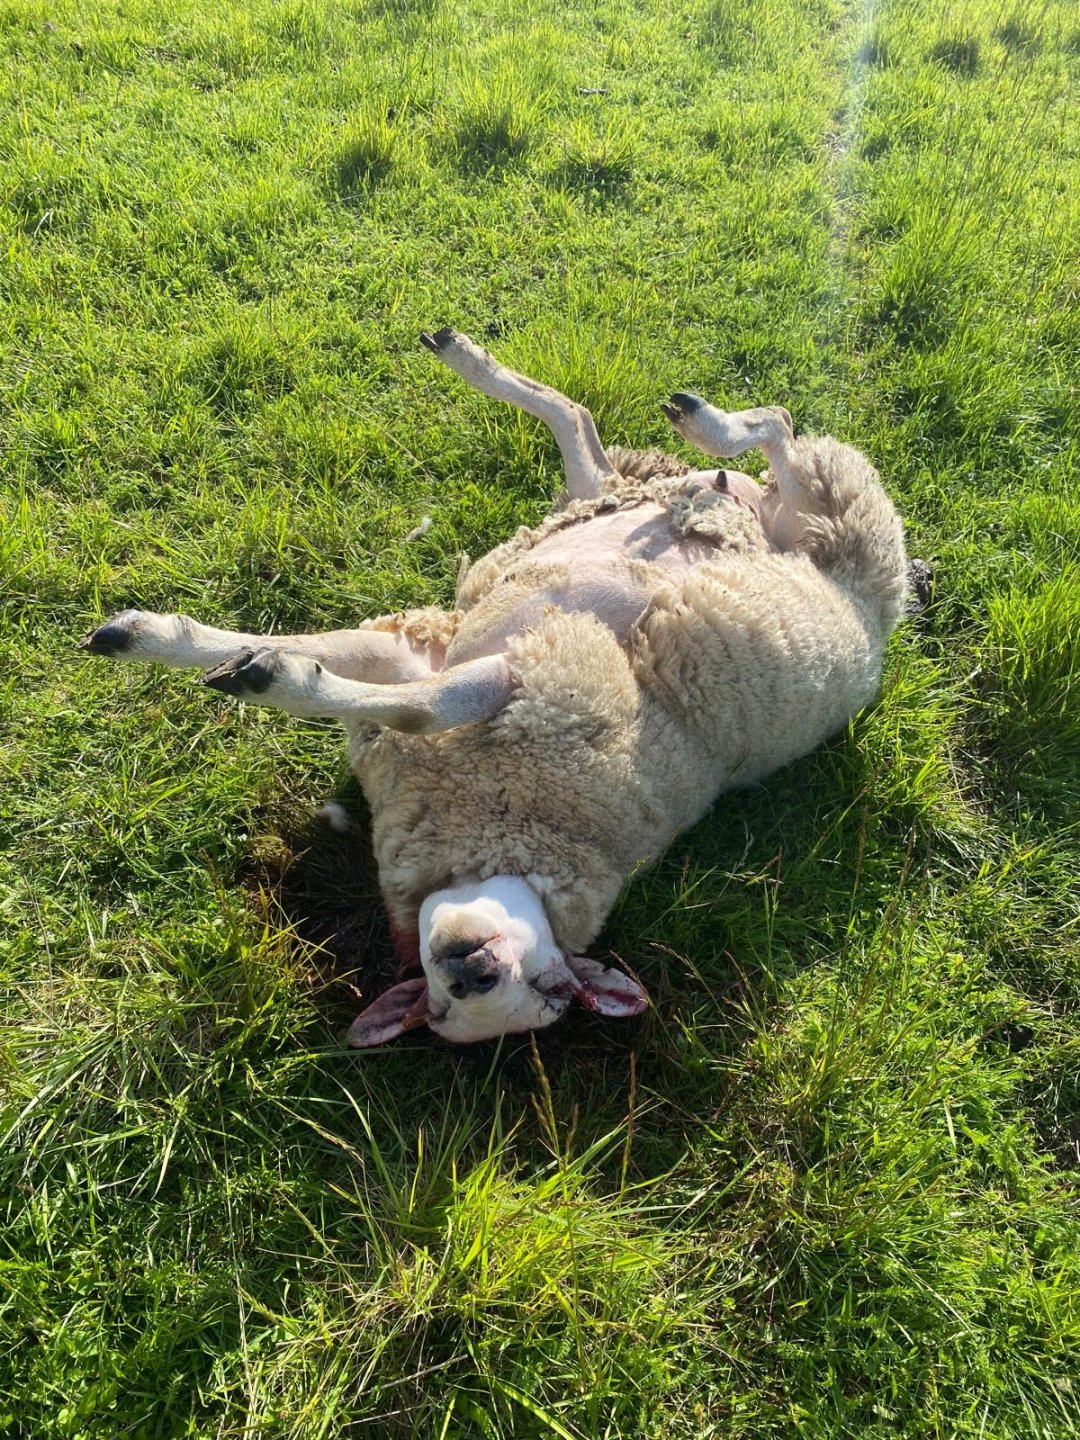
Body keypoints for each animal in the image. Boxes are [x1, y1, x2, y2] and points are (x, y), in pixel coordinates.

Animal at [81, 328, 908, 1046]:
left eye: (550, 990)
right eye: (445, 1004)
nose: (472, 971)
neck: (484, 809)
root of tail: (890, 607)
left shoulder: (532, 685)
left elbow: (416, 708)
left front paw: (266, 676)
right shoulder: (443, 661)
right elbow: (340, 662)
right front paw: (161, 639)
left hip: (843, 522)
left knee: (767, 433)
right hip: (732, 507)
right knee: (669, 425)